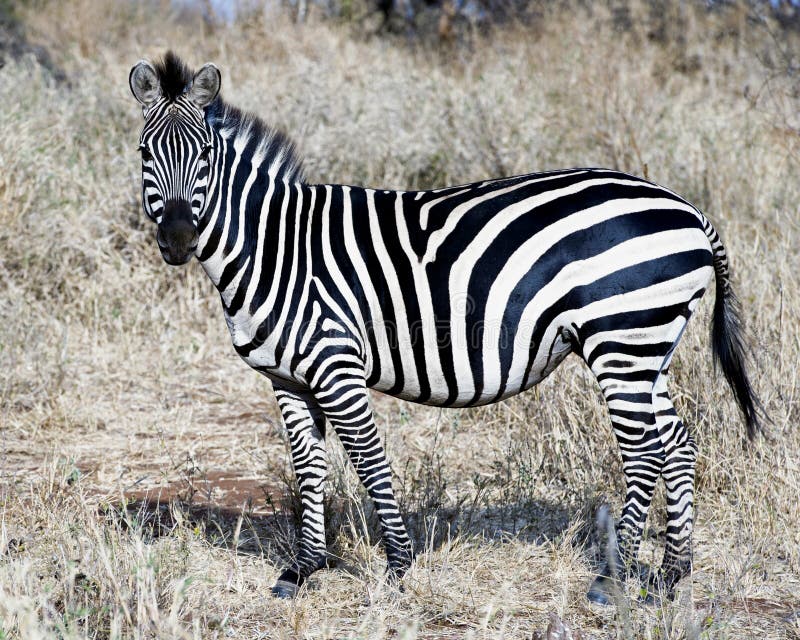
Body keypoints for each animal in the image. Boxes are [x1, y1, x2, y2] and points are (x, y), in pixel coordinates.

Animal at [129, 52, 764, 603]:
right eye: (144, 154)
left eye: (206, 156)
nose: (179, 240)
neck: (273, 249)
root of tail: (689, 210)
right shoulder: (287, 378)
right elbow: (308, 469)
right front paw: (303, 570)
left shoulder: (336, 365)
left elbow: (368, 459)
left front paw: (398, 567)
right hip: (648, 347)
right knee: (678, 443)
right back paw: (672, 575)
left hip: (622, 341)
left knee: (645, 450)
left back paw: (613, 579)